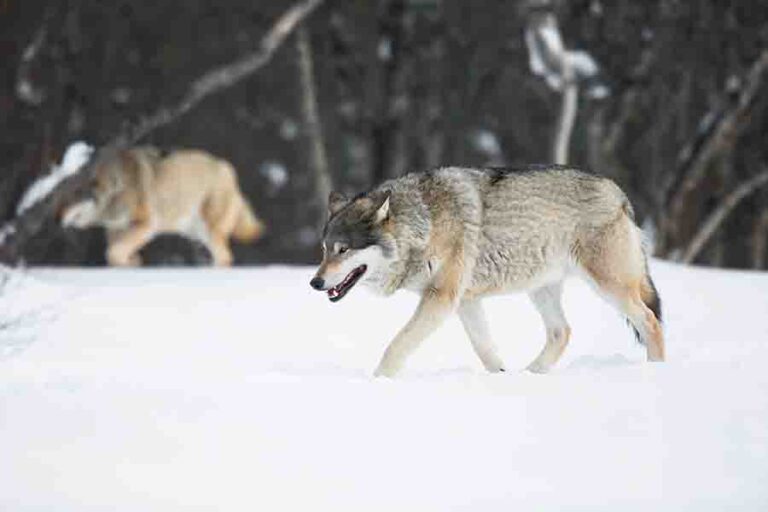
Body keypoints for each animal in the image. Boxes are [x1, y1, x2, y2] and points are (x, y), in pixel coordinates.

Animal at [60, 147, 264, 266]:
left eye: (75, 196)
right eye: (59, 200)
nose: (57, 219)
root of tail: (228, 170)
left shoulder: (146, 225)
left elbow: (112, 253)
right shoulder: (116, 230)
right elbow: (120, 254)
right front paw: (131, 264)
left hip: (210, 231)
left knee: (225, 257)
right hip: (197, 234)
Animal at [310, 165, 664, 377]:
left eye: (343, 250)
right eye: (325, 249)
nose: (315, 282)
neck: (425, 223)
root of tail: (618, 192)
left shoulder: (441, 298)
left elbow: (397, 345)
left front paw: (378, 381)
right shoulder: (465, 301)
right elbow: (485, 349)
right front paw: (502, 377)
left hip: (609, 287)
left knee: (650, 321)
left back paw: (657, 371)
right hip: (541, 289)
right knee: (561, 332)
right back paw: (531, 374)